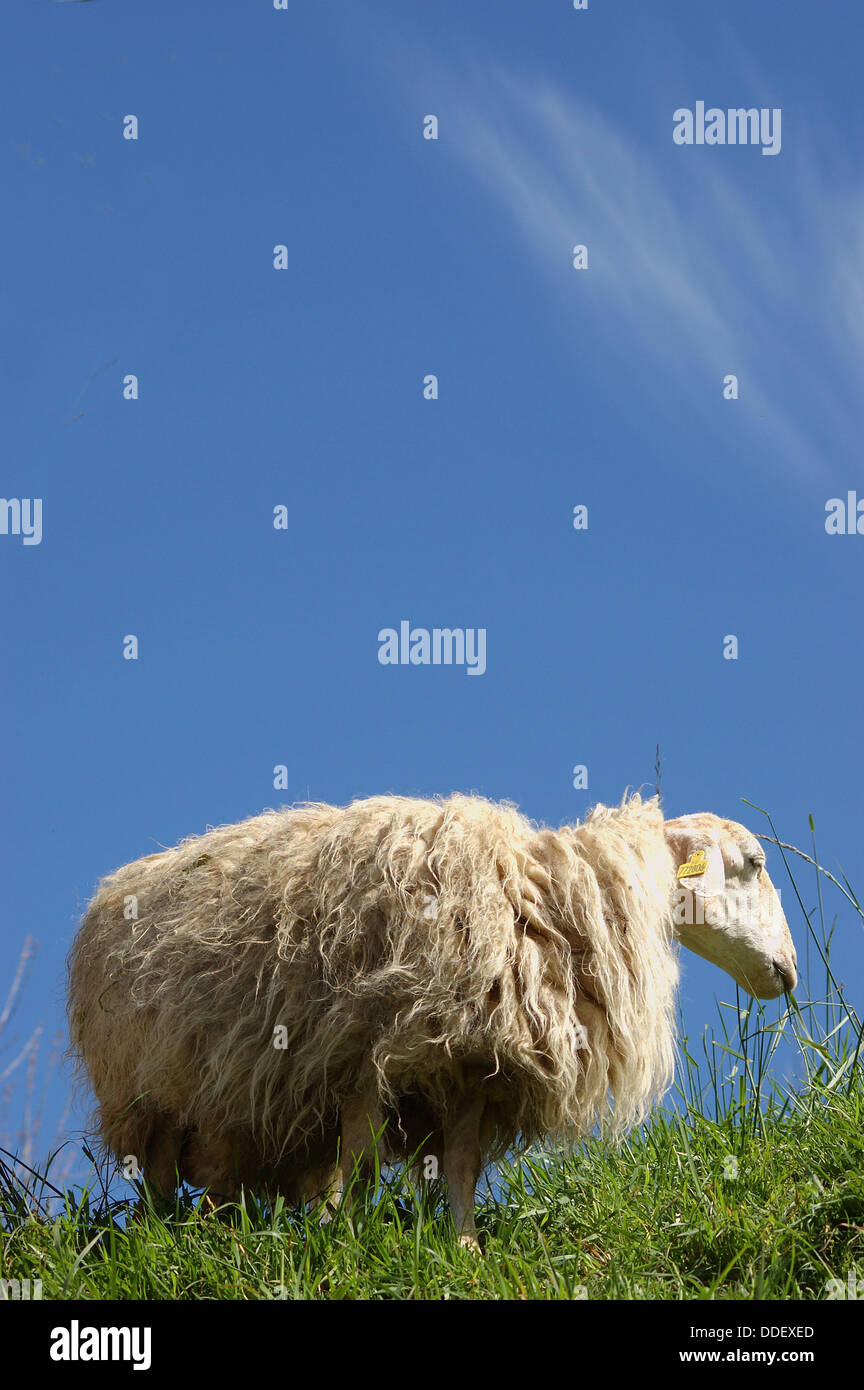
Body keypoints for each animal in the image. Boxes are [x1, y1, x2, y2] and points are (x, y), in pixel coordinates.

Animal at [67, 792, 797, 1248]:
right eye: (755, 864)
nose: (789, 970)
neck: (544, 893)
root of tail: (114, 885)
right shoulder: (367, 1047)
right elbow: (361, 1160)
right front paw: (342, 1240)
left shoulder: (473, 1063)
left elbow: (462, 1167)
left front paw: (464, 1248)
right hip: (144, 1088)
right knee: (158, 1177)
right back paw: (164, 1238)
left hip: (223, 1111)